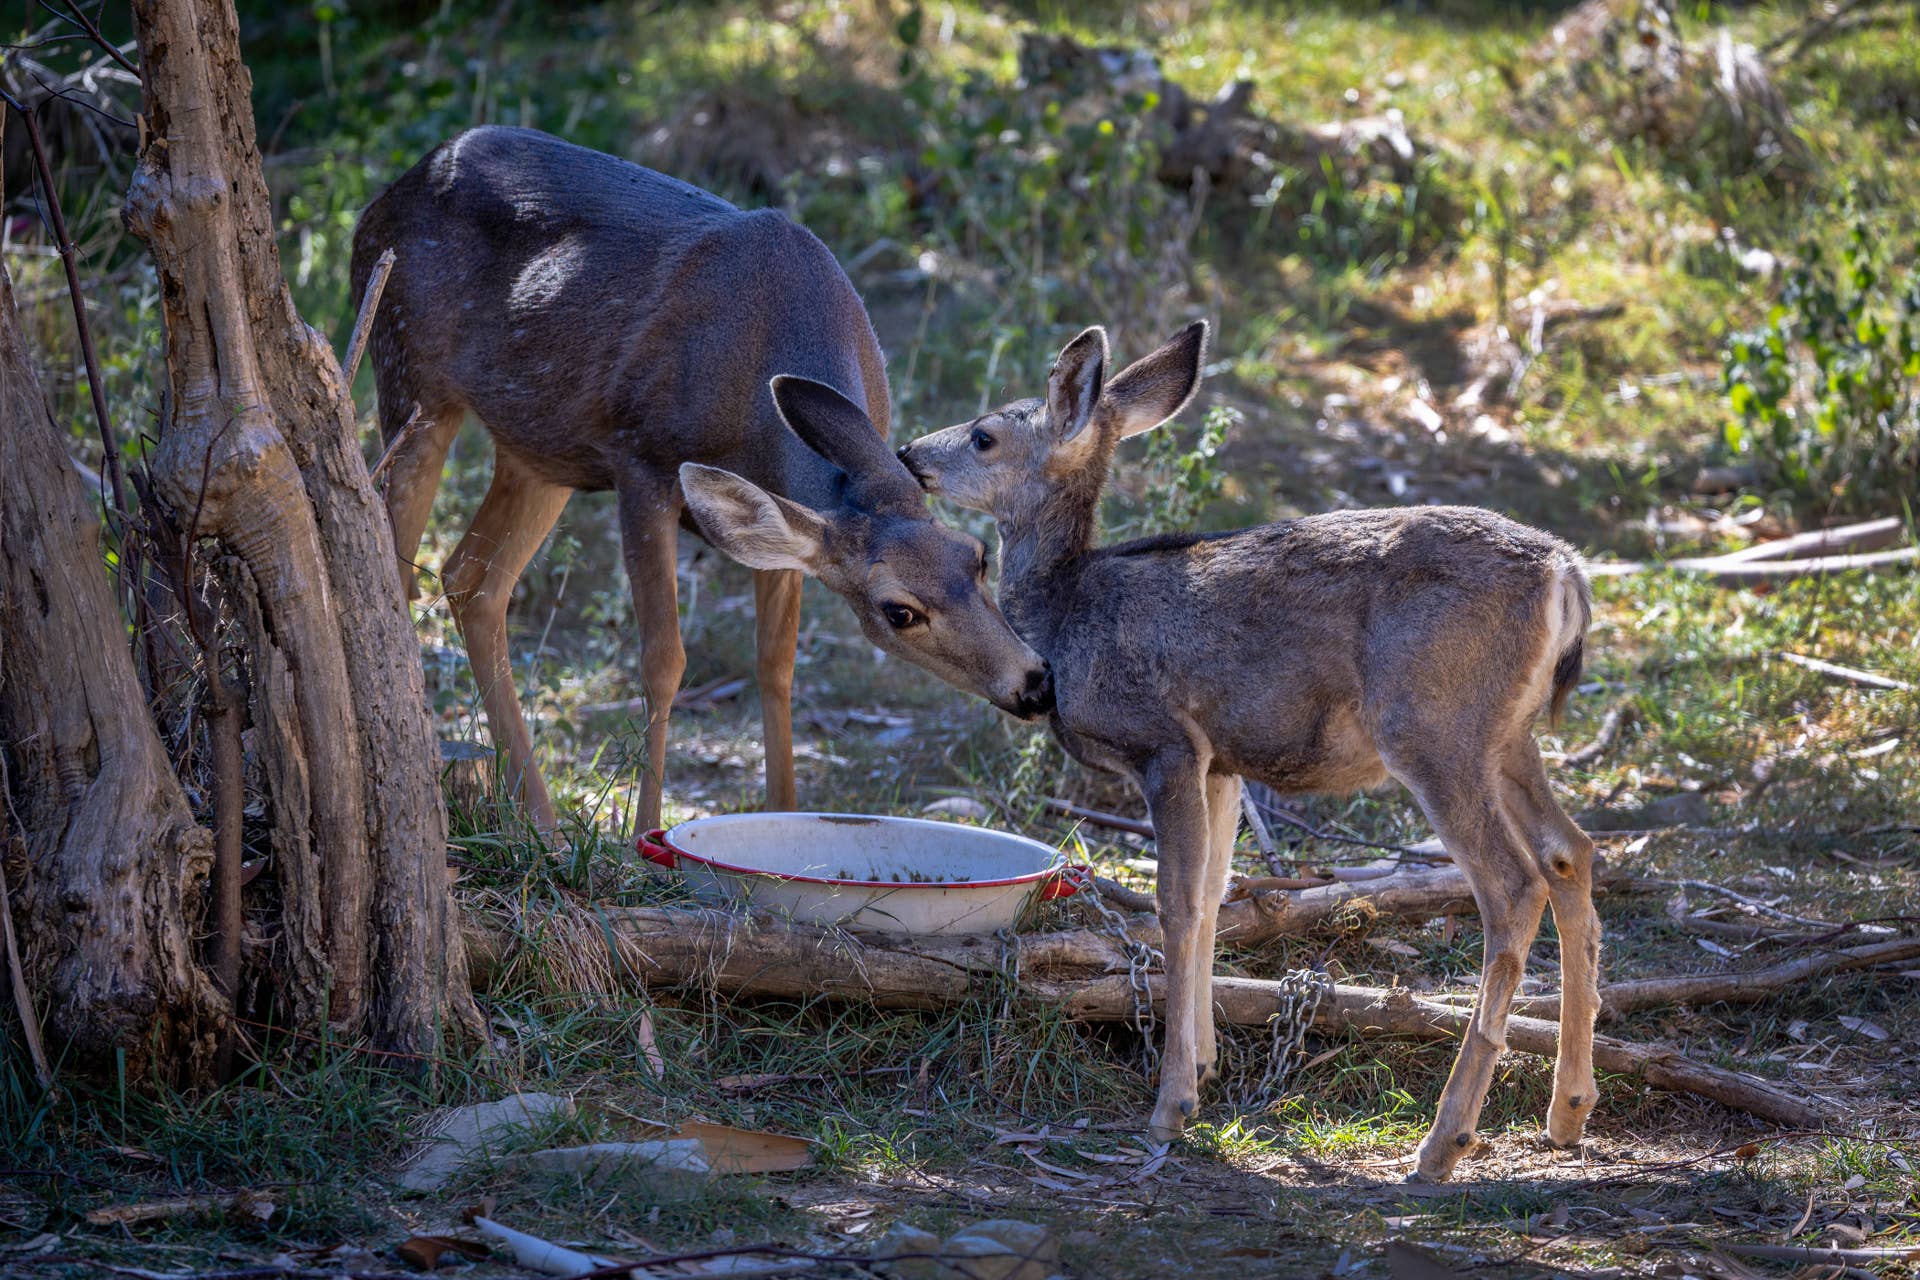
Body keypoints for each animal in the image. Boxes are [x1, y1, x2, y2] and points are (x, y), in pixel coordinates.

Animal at [349, 127, 1054, 835]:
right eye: (899, 611)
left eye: (977, 556)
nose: (1035, 682)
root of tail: (380, 203)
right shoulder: (642, 461)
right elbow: (664, 659)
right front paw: (644, 833)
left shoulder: (779, 523)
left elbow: (776, 664)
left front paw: (784, 817)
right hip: (409, 371)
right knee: (391, 559)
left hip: (540, 448)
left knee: (472, 578)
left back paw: (543, 823)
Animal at [896, 320, 1599, 1183]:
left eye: (985, 435)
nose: (909, 453)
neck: (1066, 617)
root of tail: (1565, 571)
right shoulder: (1221, 761)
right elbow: (1212, 898)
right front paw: (1201, 1068)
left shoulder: (1164, 741)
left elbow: (1174, 904)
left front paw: (1170, 1107)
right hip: (1507, 736)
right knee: (1571, 853)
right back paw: (1567, 1111)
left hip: (1433, 725)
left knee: (1513, 884)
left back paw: (1443, 1144)